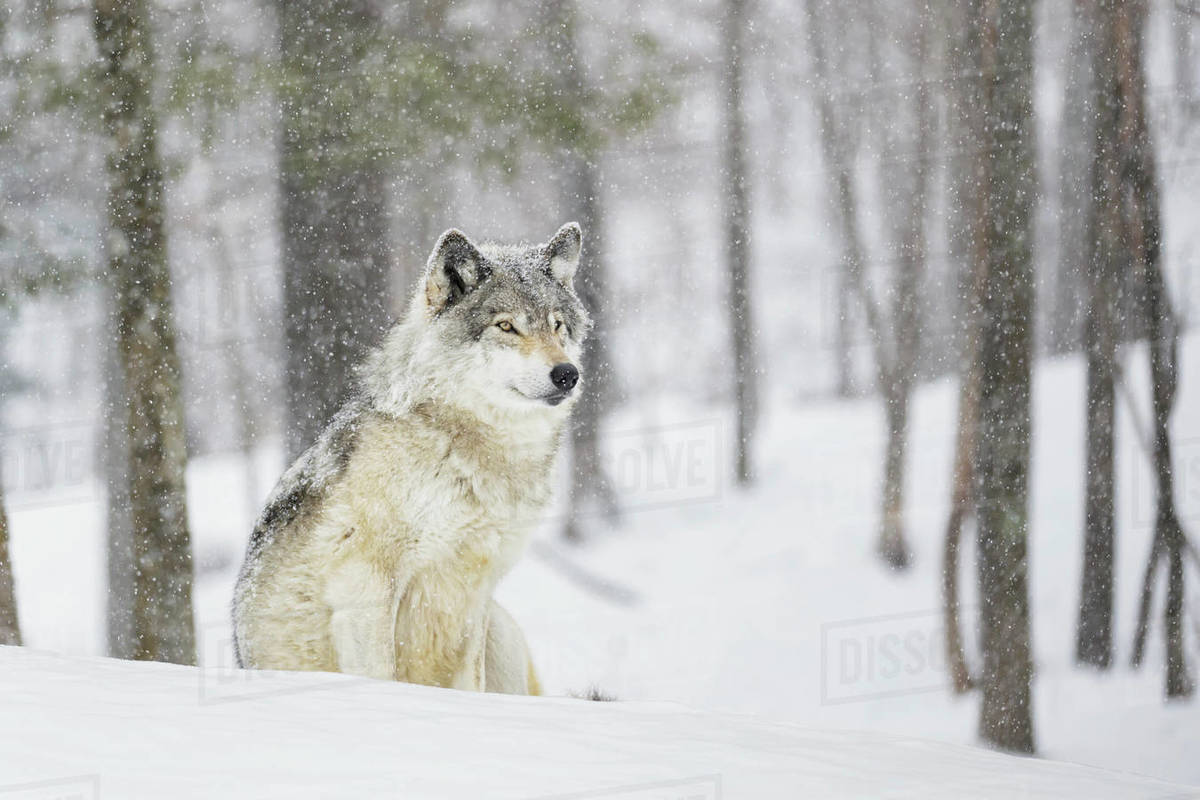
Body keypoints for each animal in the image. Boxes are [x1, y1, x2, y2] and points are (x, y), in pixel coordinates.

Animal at [231, 223, 590, 695]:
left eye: (557, 325)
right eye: (506, 326)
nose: (567, 374)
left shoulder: (476, 594)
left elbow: (471, 685)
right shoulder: (365, 588)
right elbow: (382, 674)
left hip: (501, 626)